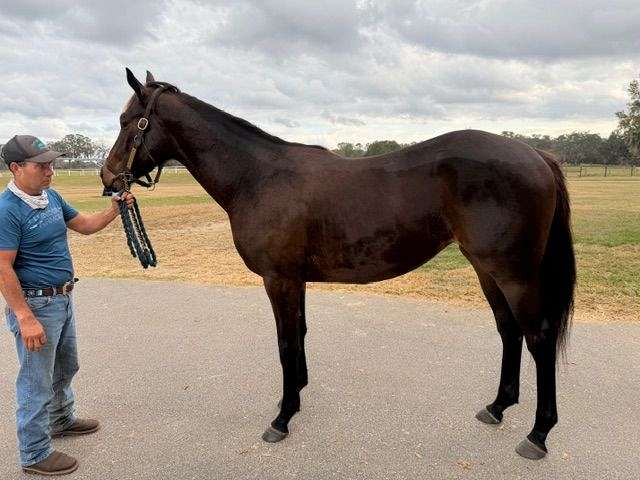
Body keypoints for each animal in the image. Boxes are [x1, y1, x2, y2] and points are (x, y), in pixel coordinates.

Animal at [101, 69, 575, 460]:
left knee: (538, 337)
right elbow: (300, 335)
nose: (107, 179)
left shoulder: (279, 280)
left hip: (514, 273)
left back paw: (538, 434)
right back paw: (497, 407)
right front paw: (293, 398)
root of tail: (537, 155)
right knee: (509, 331)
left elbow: (285, 342)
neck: (257, 176)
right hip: (485, 269)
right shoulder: (295, 280)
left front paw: (281, 420)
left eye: (128, 122)